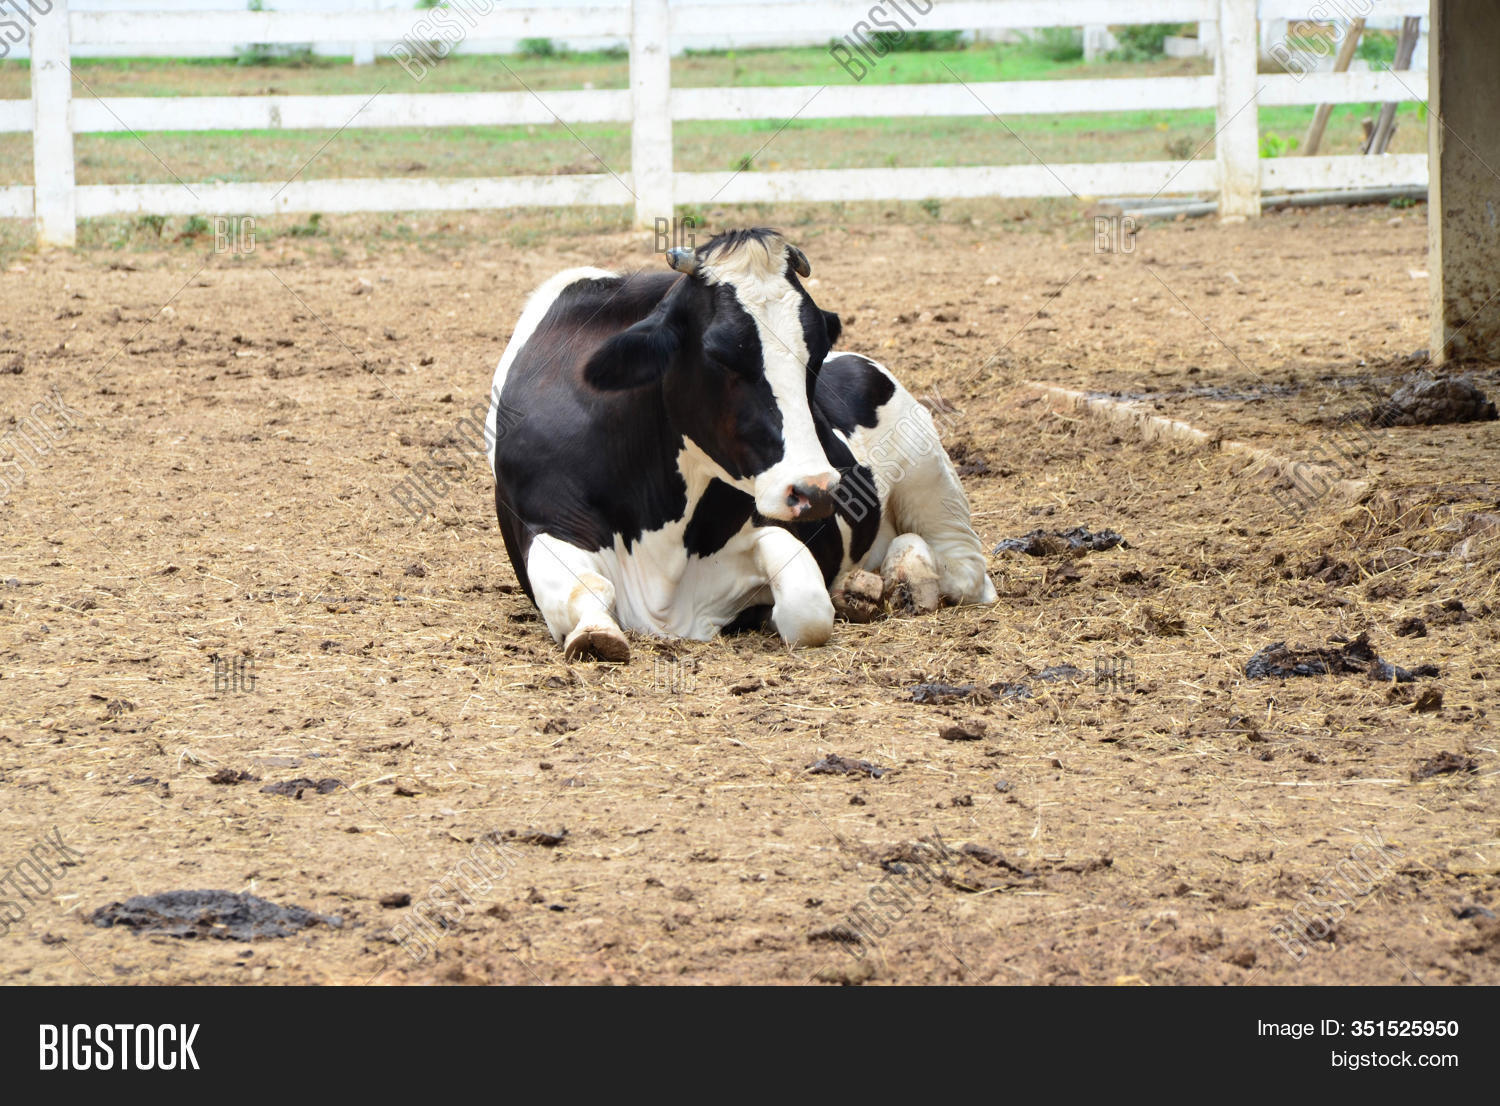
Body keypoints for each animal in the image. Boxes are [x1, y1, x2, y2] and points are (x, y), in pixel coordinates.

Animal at [485, 228, 996, 662]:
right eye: (720, 354)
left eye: (815, 354)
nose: (815, 491)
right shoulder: (546, 524)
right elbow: (583, 591)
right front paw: (598, 635)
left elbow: (808, 607)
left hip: (930, 475)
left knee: (966, 571)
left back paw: (912, 577)